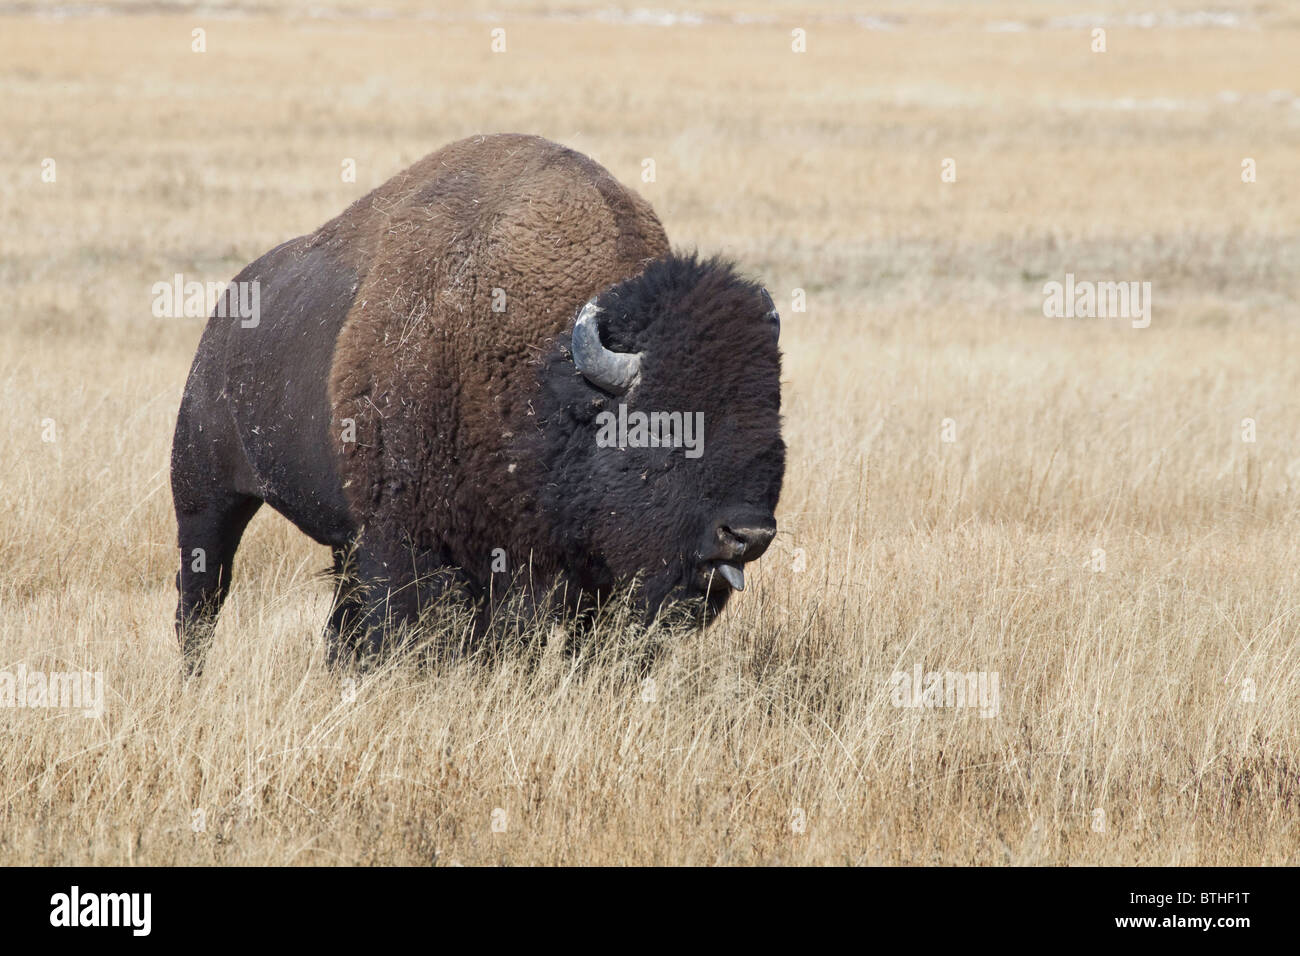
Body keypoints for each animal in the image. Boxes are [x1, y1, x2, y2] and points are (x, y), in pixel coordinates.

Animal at [171, 133, 785, 673]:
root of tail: (225, 313)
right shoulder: (410, 546)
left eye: (773, 428)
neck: (549, 381)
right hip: (205, 495)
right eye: (660, 429)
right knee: (200, 602)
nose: (747, 535)